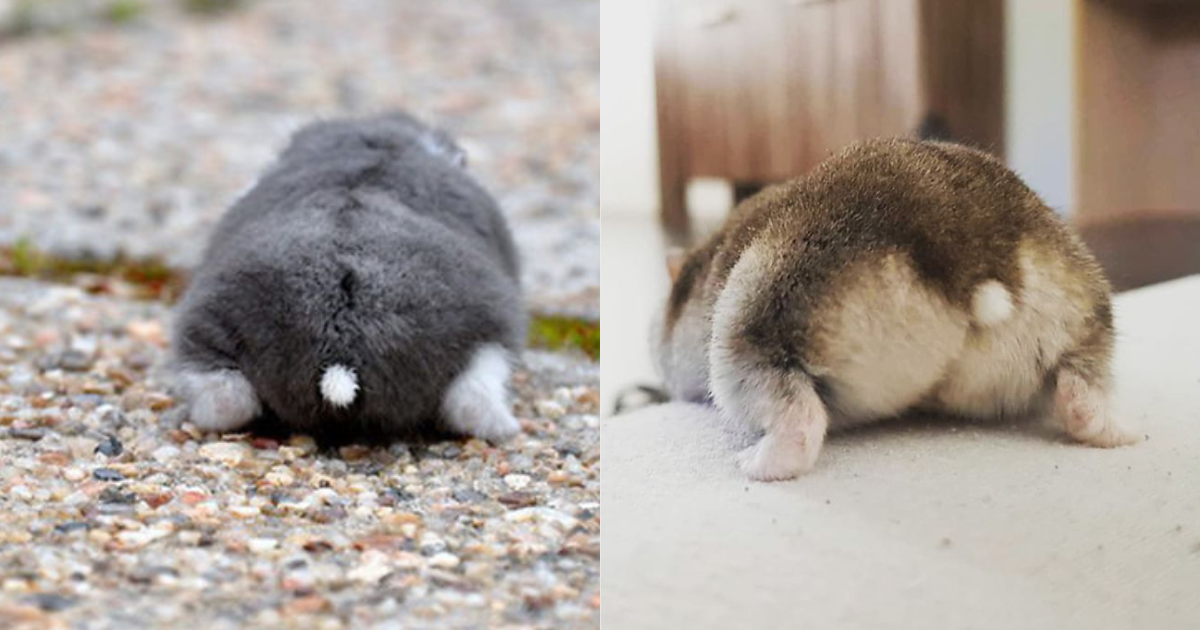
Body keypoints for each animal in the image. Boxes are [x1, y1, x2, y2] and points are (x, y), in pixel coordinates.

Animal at [169, 112, 526, 444]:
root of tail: (339, 365)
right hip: (488, 341)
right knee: (475, 402)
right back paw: (511, 429)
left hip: (211, 331)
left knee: (227, 402)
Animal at [654, 139, 1139, 481]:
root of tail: (973, 260)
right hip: (1082, 318)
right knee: (1082, 394)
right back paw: (1125, 434)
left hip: (754, 323)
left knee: (799, 419)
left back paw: (753, 463)